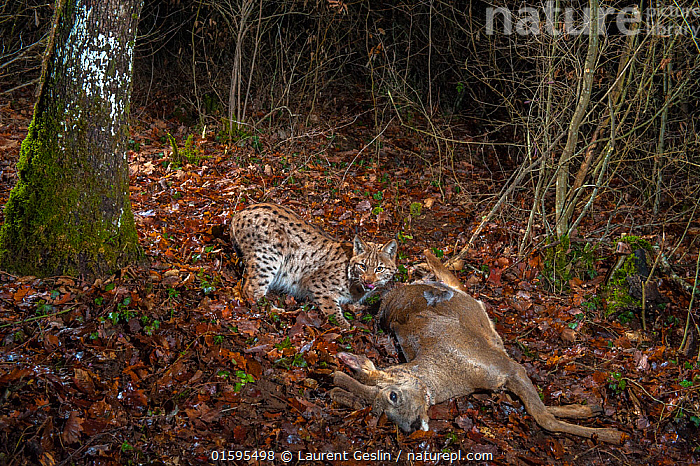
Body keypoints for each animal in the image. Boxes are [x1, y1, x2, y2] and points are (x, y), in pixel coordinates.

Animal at [330, 250, 625, 444]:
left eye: (392, 396)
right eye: (383, 415)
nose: (410, 427)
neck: (458, 377)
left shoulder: (508, 366)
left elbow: (543, 416)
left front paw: (612, 434)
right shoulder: (504, 375)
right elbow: (534, 408)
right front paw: (591, 410)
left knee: (443, 270)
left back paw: (423, 260)